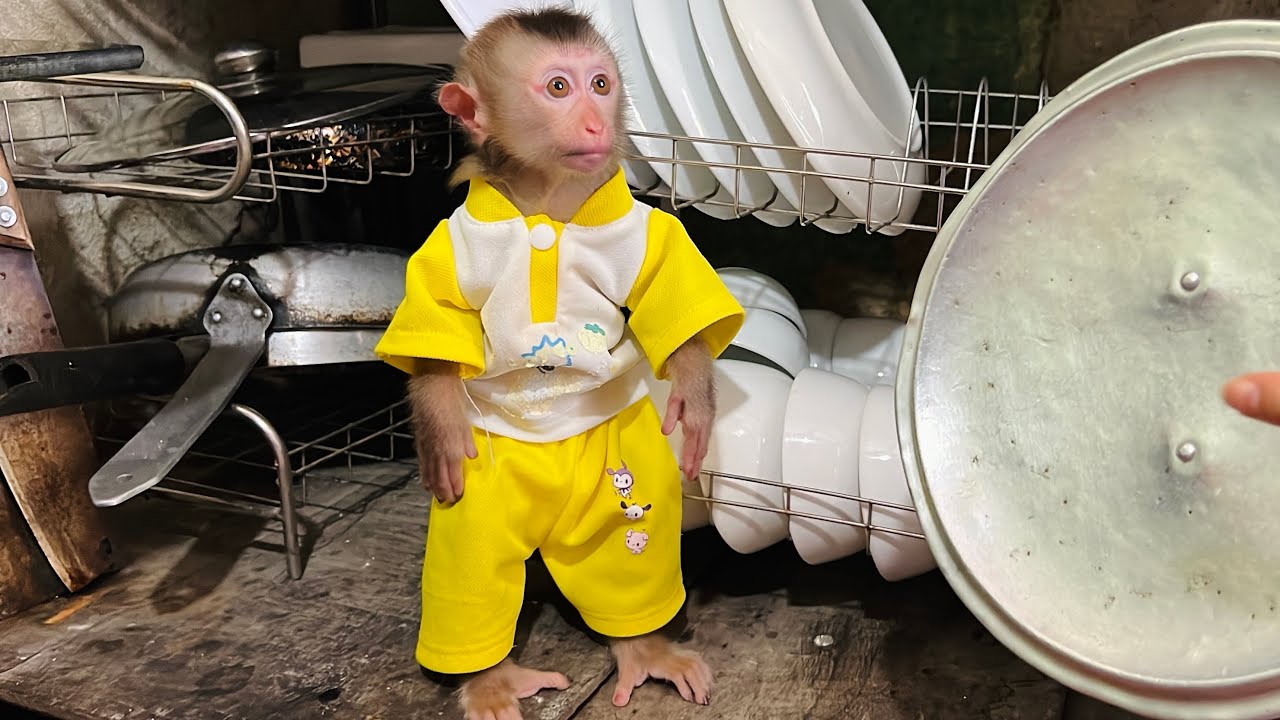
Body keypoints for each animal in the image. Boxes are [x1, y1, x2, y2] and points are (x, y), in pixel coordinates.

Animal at [373, 8, 745, 720]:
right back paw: (489, 678)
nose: (598, 122)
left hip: (618, 466)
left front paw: (693, 398)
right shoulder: (444, 245)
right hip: (490, 491)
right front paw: (439, 427)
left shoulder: (648, 231)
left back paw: (642, 647)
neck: (547, 201)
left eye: (600, 83)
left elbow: (675, 316)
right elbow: (437, 352)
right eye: (557, 88)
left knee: (621, 557)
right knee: (471, 563)